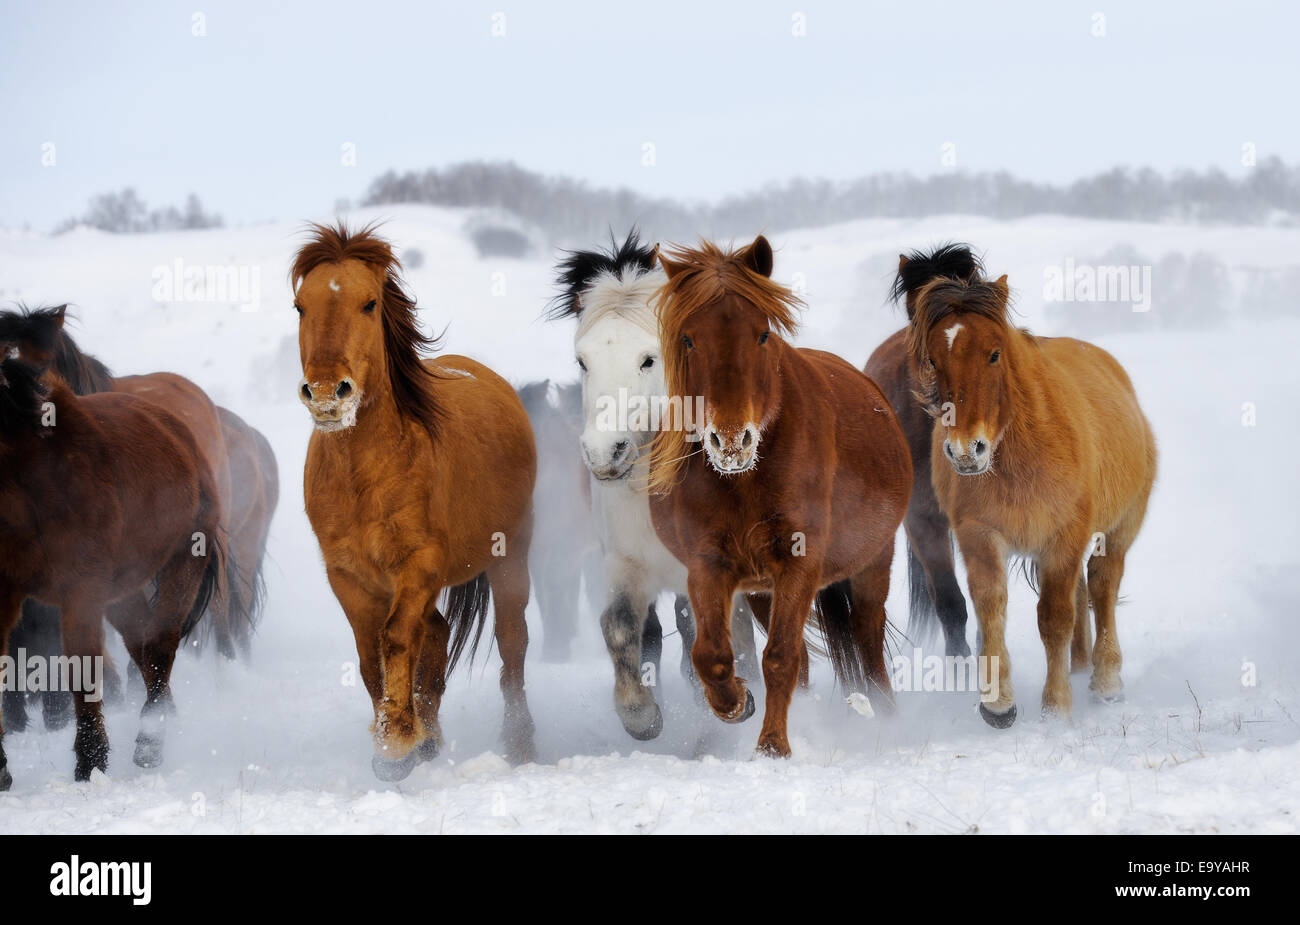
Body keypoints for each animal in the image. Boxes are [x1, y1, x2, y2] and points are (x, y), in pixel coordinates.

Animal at [0, 306, 231, 788]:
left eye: (41, 362)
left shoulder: (80, 591)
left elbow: (82, 670)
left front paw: (90, 763)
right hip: (123, 589)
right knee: (142, 646)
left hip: (181, 564)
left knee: (159, 649)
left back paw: (149, 742)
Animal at [293, 222, 537, 780]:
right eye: (299, 306)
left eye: (368, 303)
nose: (327, 394)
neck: (363, 476)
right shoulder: (347, 575)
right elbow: (369, 655)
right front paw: (405, 735)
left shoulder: (418, 564)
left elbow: (396, 639)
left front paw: (395, 744)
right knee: (440, 635)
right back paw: (432, 734)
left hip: (510, 556)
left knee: (511, 645)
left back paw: (519, 746)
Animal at [547, 232, 760, 741]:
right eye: (582, 360)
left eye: (649, 359)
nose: (605, 452)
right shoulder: (625, 565)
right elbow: (621, 627)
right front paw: (641, 714)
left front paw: (736, 705)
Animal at [648, 236, 912, 757]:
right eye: (688, 339)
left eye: (762, 335)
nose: (732, 442)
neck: (745, 480)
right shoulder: (710, 564)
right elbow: (712, 654)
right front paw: (736, 703)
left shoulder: (800, 560)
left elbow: (781, 657)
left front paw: (773, 747)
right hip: (760, 590)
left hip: (873, 563)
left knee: (868, 641)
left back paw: (887, 720)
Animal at [904, 263, 1157, 726]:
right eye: (933, 359)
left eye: (994, 353)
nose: (966, 450)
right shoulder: (980, 536)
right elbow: (991, 607)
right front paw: (997, 702)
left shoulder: (1065, 538)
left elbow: (1055, 618)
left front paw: (1055, 707)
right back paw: (1080, 667)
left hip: (1115, 533)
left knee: (1103, 590)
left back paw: (1105, 681)